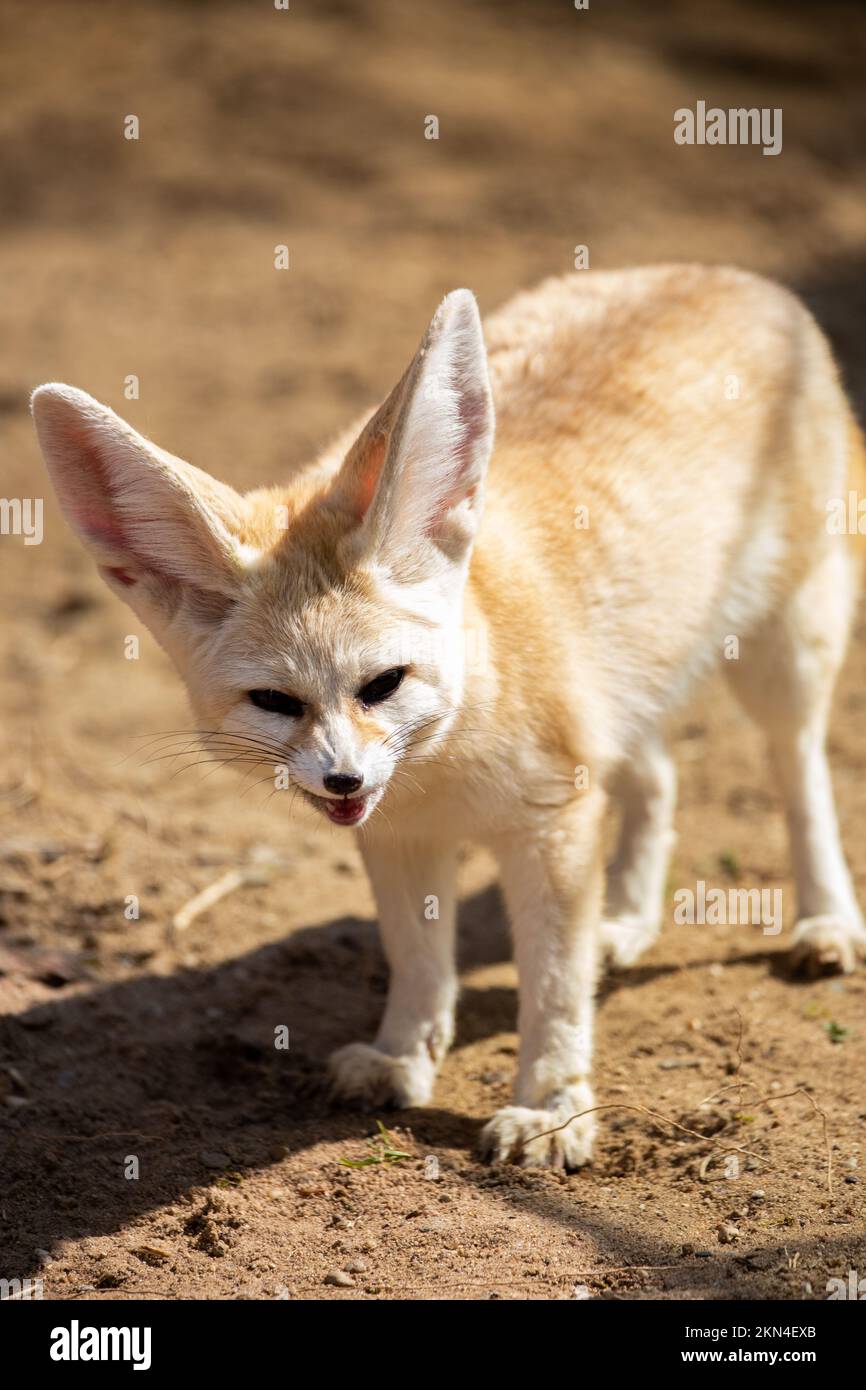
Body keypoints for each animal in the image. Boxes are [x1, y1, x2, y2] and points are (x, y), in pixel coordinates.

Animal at [32, 265, 866, 1168]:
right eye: (276, 702)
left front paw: (551, 1106)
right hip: (629, 691)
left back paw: (824, 921)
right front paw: (402, 1056)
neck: (445, 769)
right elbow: (419, 961)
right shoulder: (402, 835)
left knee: (800, 774)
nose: (343, 778)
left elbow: (552, 985)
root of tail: (728, 274)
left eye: (383, 684)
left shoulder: (553, 826)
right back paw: (628, 918)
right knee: (660, 774)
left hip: (785, 659)